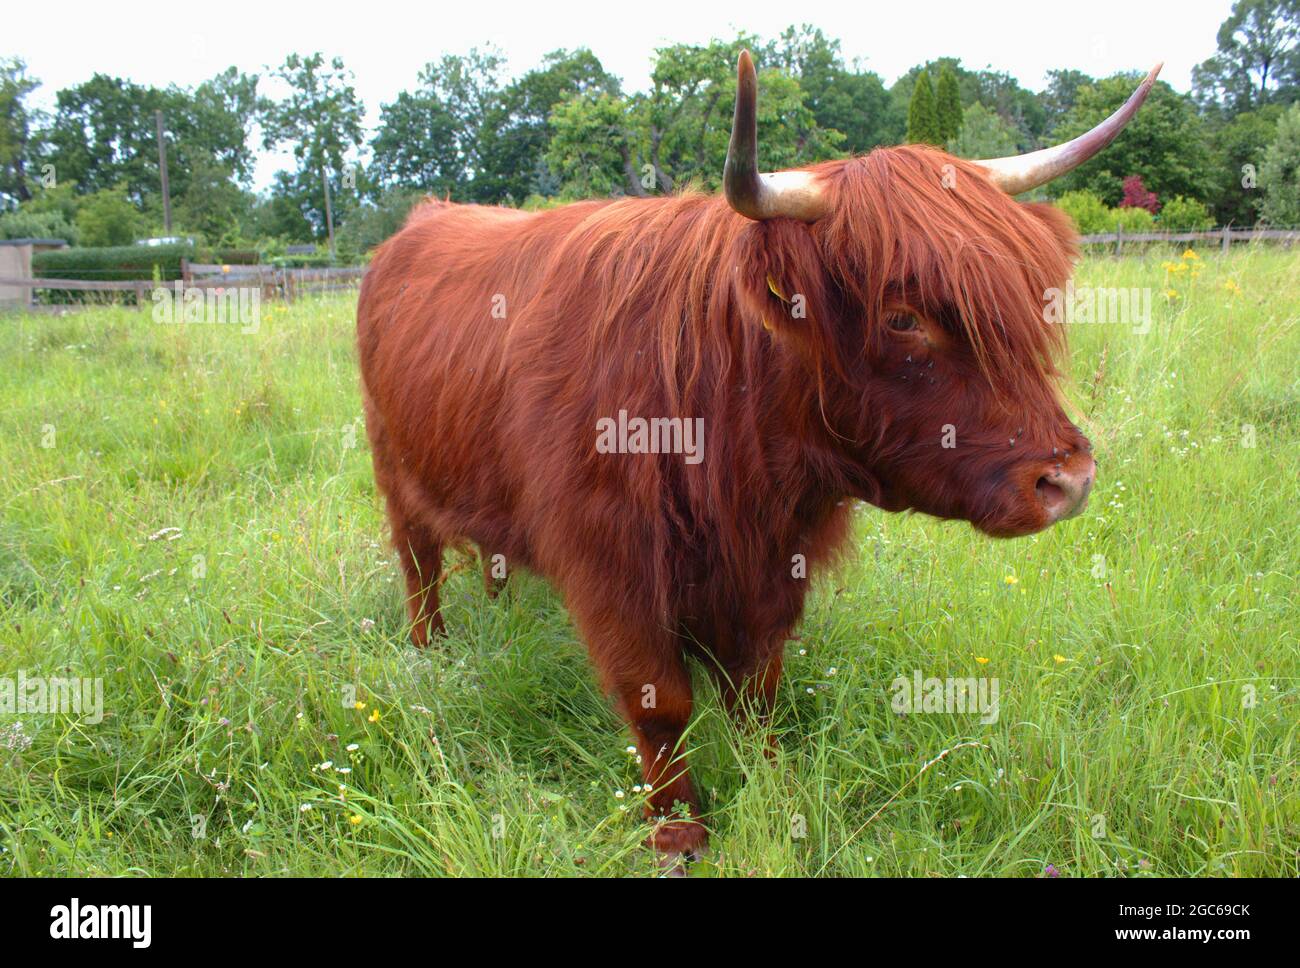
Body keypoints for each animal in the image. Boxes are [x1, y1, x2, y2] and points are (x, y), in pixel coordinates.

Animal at [356, 51, 1160, 867]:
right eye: (903, 318)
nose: (1068, 478)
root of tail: (421, 223)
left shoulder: (769, 566)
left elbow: (756, 692)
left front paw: (772, 788)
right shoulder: (612, 568)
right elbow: (660, 702)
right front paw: (679, 832)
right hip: (395, 470)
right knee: (418, 564)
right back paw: (432, 653)